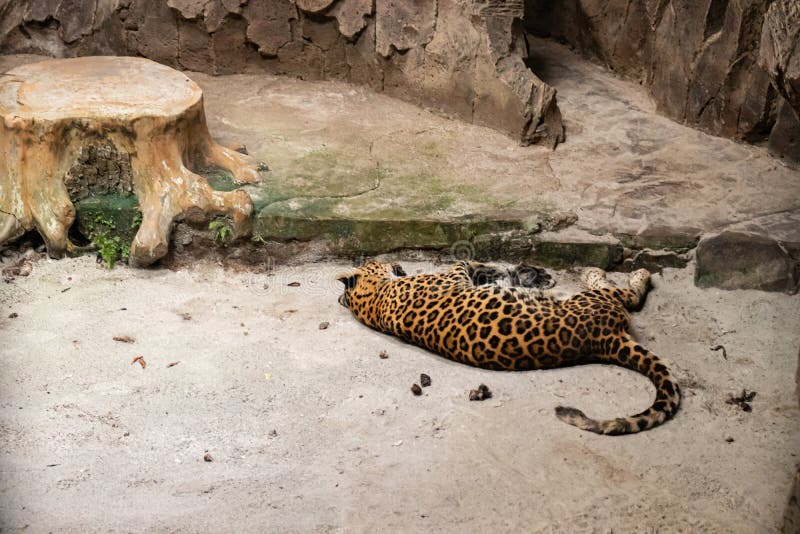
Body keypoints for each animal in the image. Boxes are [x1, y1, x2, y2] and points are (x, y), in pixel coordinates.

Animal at [336, 260, 680, 435]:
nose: (396, 262)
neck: (373, 300)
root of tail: (605, 338)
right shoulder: (454, 274)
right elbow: (465, 261)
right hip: (596, 299)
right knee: (627, 294)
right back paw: (617, 273)